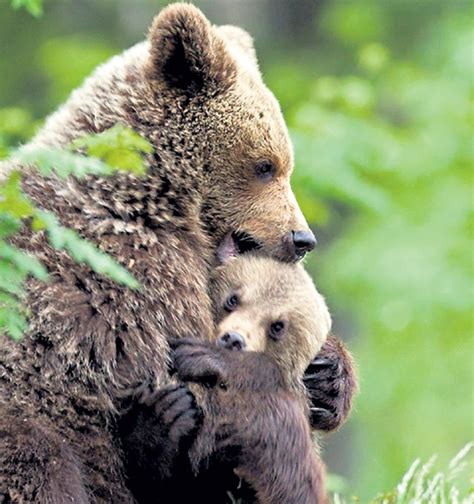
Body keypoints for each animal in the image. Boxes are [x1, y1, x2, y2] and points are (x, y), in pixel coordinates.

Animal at [0, 4, 356, 504]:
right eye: (264, 165)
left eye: (285, 164)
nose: (302, 239)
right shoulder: (133, 279)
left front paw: (327, 375)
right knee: (41, 460)